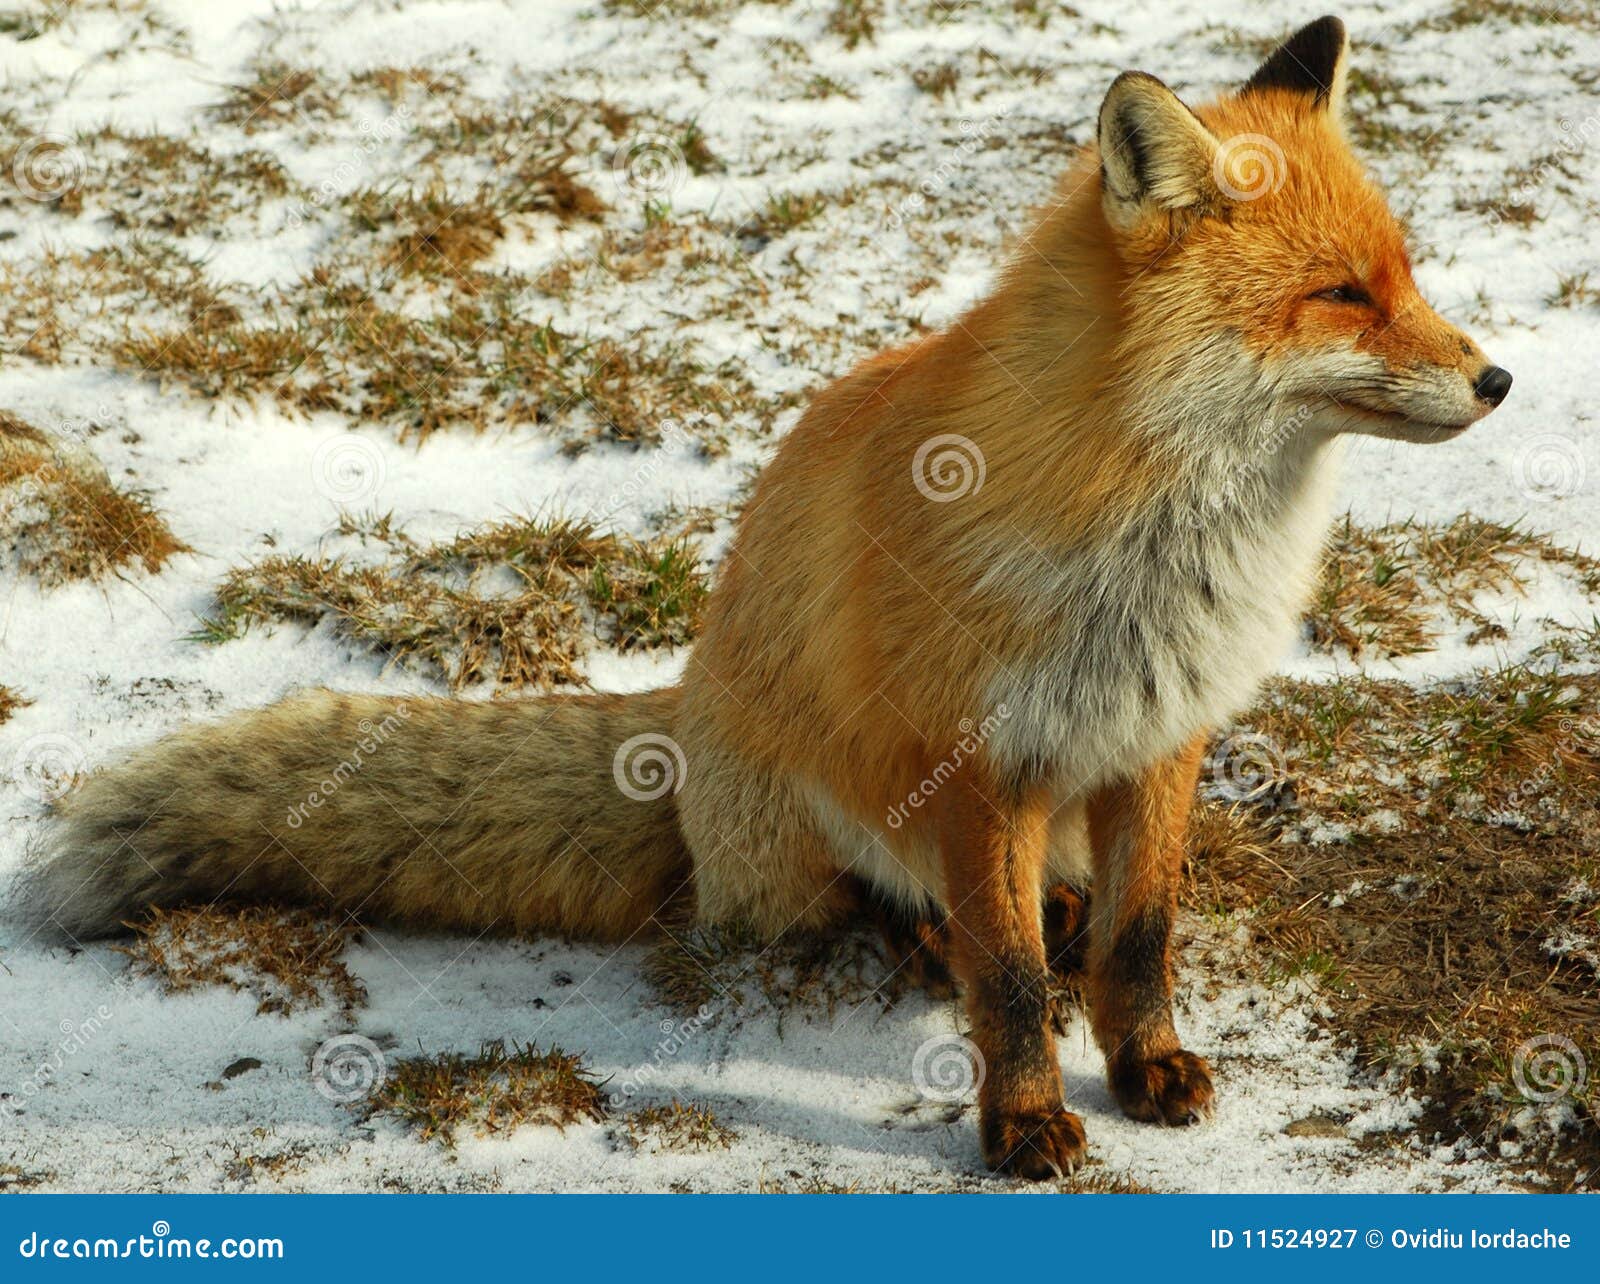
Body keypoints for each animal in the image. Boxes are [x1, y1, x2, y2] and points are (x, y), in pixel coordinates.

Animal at [24, 16, 1512, 1179]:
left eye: (1406, 276)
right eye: (1341, 295)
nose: (1499, 381)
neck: (1154, 541)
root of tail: (679, 719)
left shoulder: (1160, 735)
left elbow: (1141, 943)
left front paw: (1145, 1067)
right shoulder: (973, 763)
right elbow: (1009, 984)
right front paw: (1023, 1124)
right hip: (816, 846)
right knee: (884, 915)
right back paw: (932, 935)